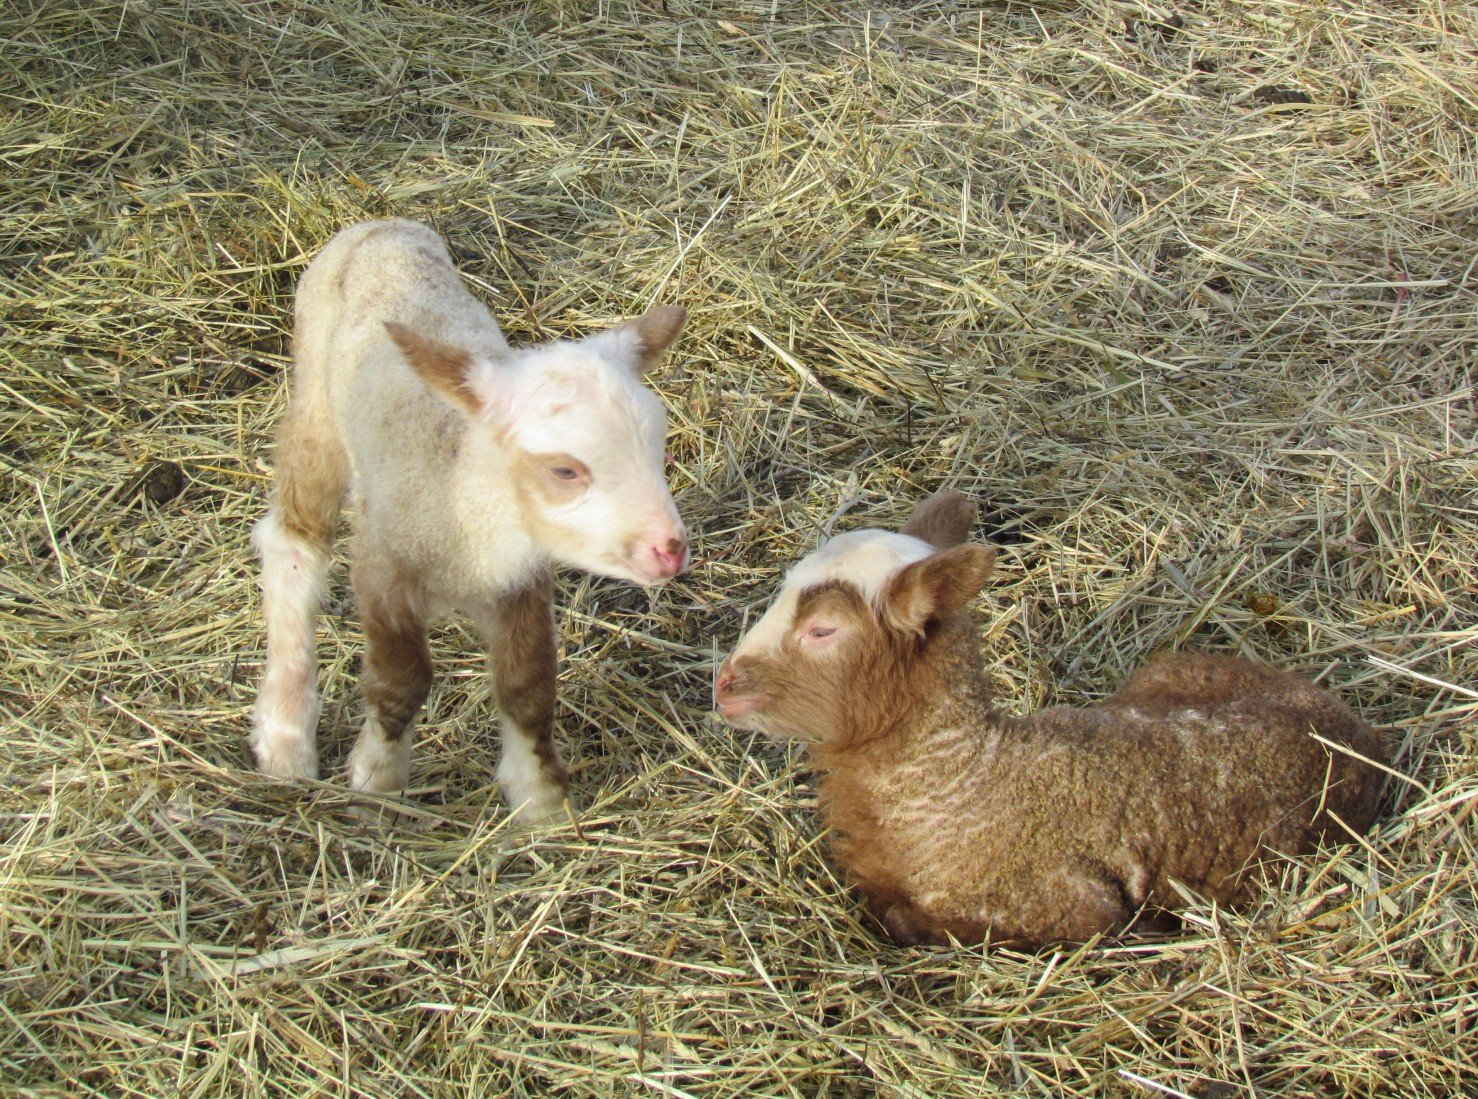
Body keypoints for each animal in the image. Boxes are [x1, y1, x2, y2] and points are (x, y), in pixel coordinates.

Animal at [252, 218, 690, 823]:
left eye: (658, 446)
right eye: (564, 469)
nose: (669, 550)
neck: (462, 504)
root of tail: (379, 225)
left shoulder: (521, 585)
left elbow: (529, 688)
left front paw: (542, 800)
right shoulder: (382, 566)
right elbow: (401, 681)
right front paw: (377, 778)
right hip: (316, 394)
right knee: (293, 543)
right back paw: (286, 734)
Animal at [715, 491, 1386, 948]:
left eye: (823, 630)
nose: (723, 685)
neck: (953, 781)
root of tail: (1360, 732)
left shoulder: (1072, 908)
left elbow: (906, 919)